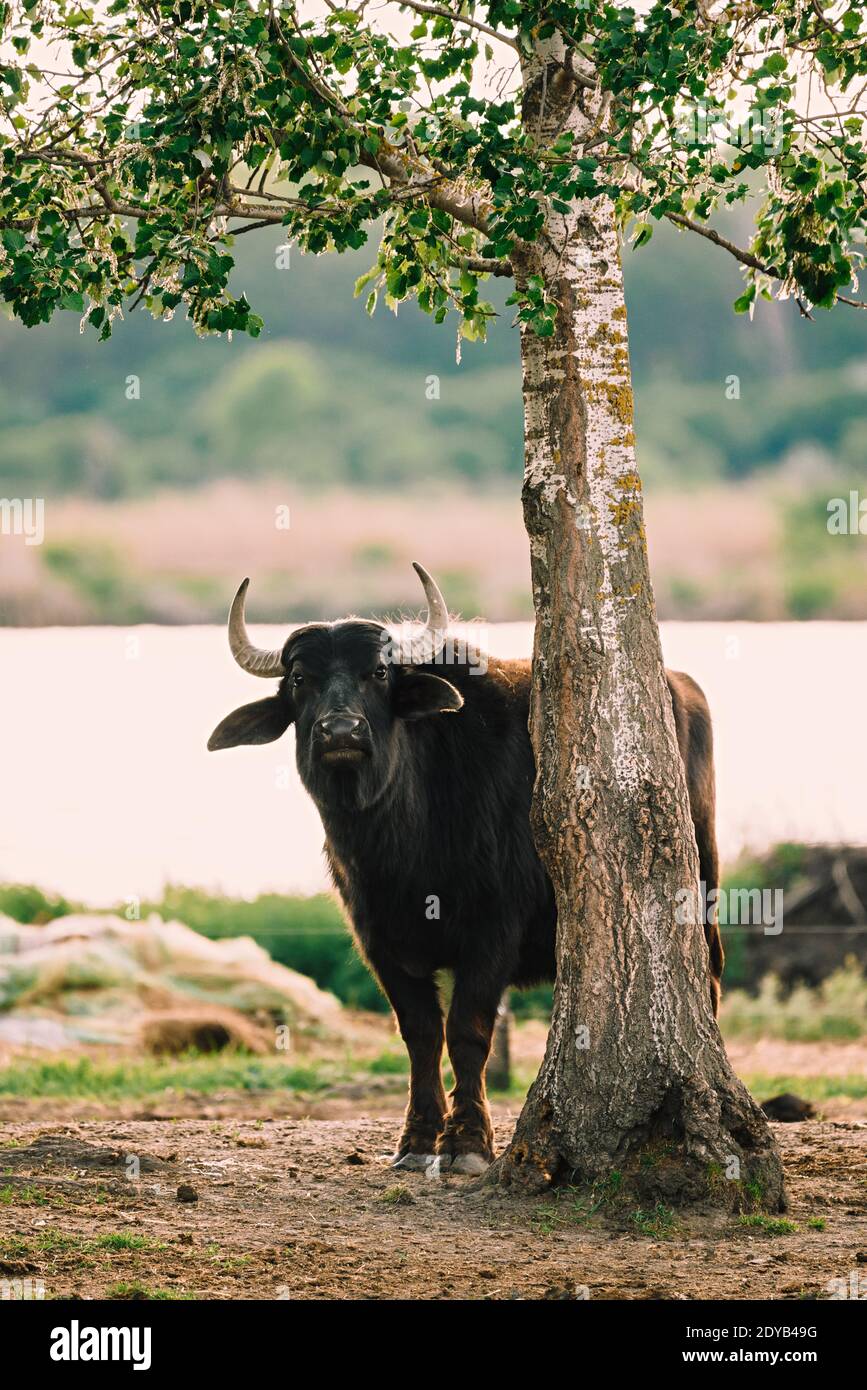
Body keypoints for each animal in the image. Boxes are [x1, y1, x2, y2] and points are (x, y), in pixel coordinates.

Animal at [208, 563, 722, 1173]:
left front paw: (469, 1142)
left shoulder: (493, 930)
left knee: (708, 980)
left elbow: (468, 1033)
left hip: (699, 888)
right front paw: (416, 1139)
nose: (341, 732)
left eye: (378, 672)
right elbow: (421, 1035)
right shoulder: (378, 941)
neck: (404, 844)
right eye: (298, 678)